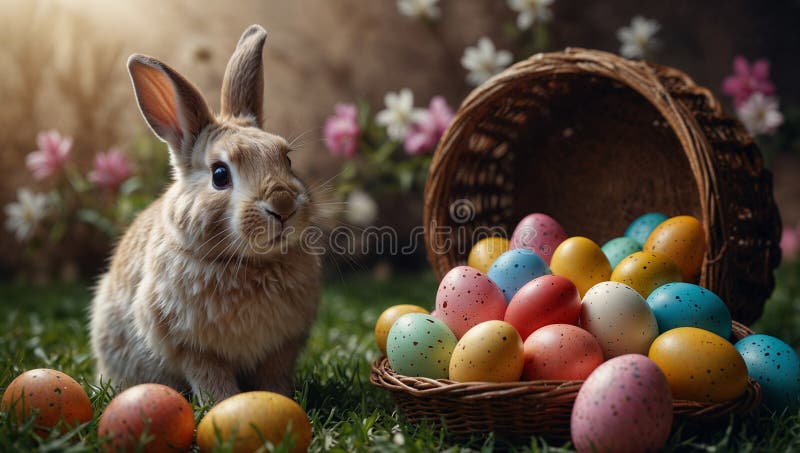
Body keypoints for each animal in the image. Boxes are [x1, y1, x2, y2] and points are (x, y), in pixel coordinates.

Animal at [90, 24, 321, 402]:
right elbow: (211, 377)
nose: (283, 207)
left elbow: (273, 376)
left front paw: (279, 399)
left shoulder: (282, 347)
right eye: (220, 174)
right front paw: (222, 404)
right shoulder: (191, 348)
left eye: (286, 159)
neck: (249, 264)